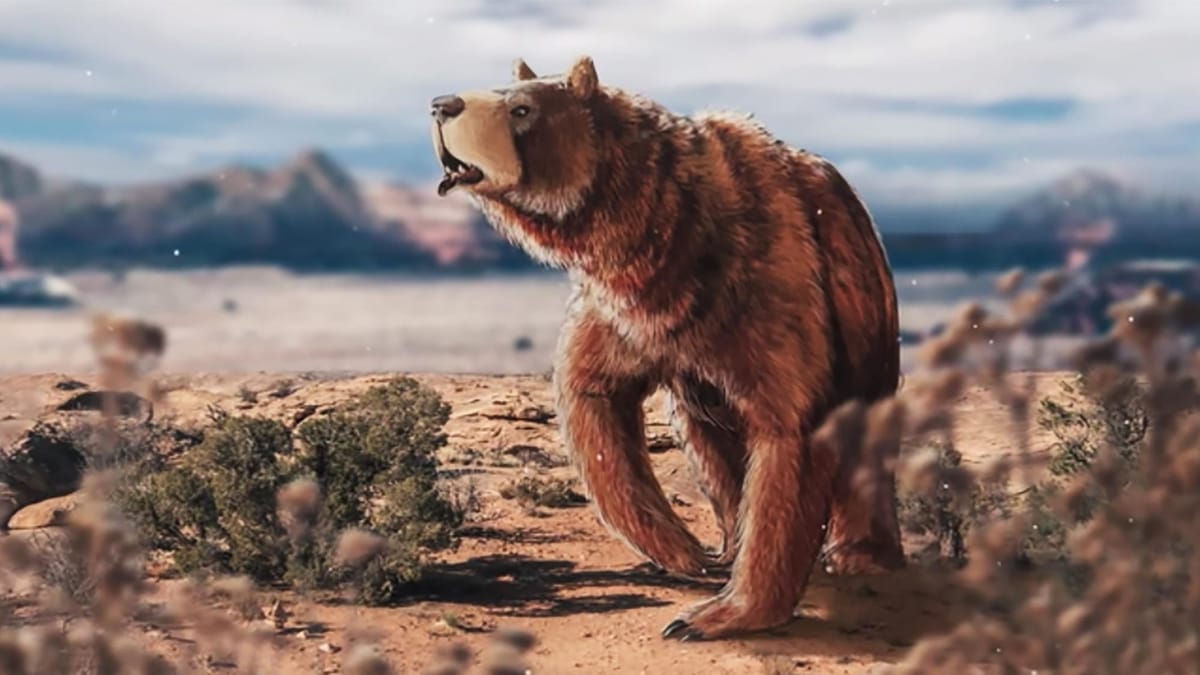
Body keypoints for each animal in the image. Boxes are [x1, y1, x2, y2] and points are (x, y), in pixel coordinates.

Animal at [429, 56, 904, 640]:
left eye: (521, 108)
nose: (442, 104)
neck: (667, 232)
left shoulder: (770, 280)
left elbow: (789, 427)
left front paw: (716, 614)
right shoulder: (629, 312)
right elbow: (594, 397)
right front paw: (687, 554)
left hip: (859, 294)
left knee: (864, 425)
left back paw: (859, 554)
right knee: (712, 445)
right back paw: (729, 543)